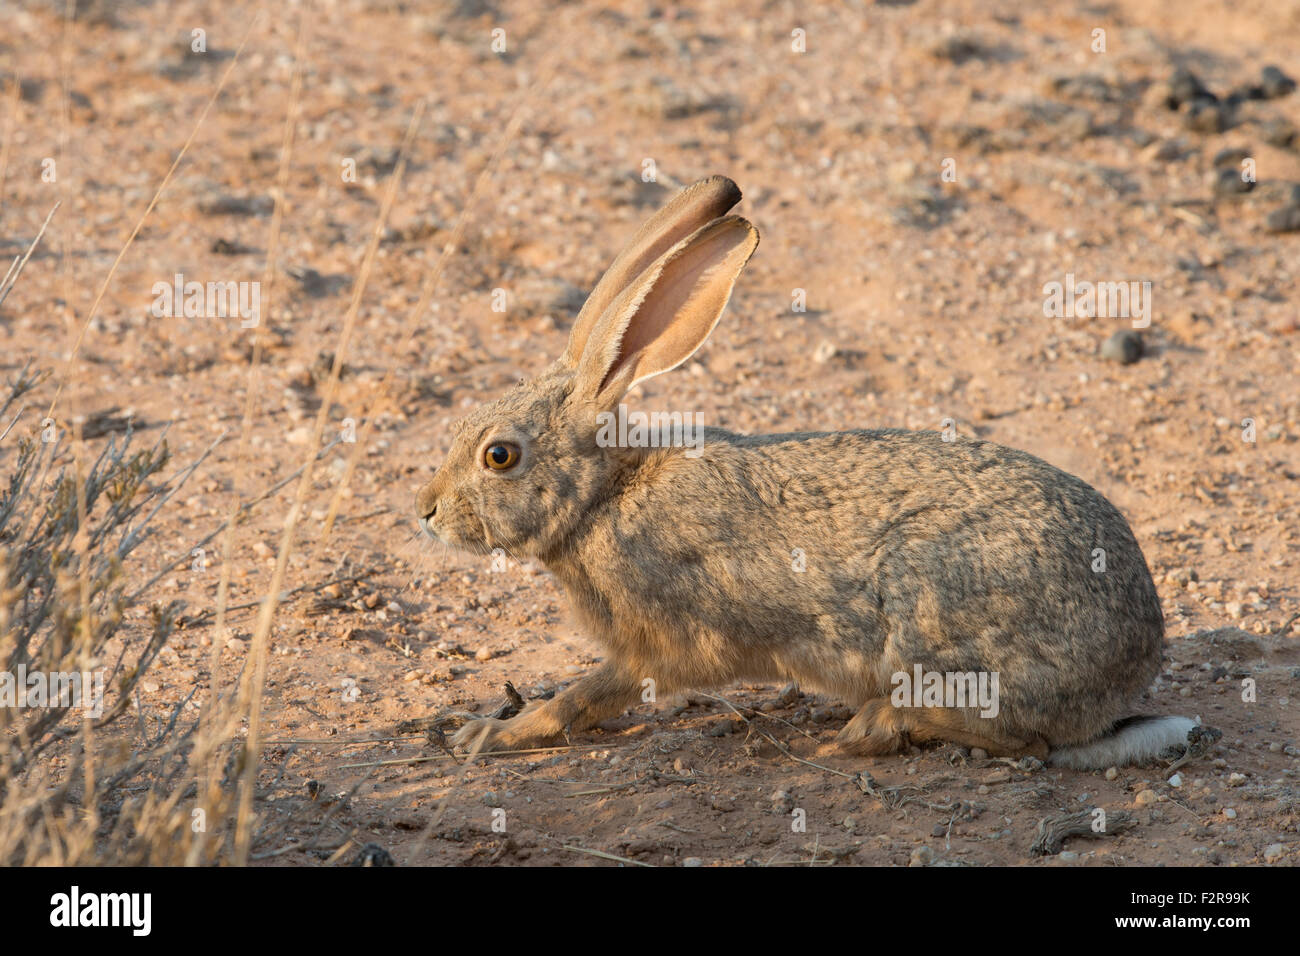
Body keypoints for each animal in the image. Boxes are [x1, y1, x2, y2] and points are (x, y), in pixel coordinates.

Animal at [415, 175, 1215, 770]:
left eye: (499, 455)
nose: (425, 509)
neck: (600, 501)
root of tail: (1128, 668)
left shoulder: (659, 643)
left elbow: (583, 696)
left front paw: (490, 734)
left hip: (937, 620)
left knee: (1023, 737)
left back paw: (871, 727)